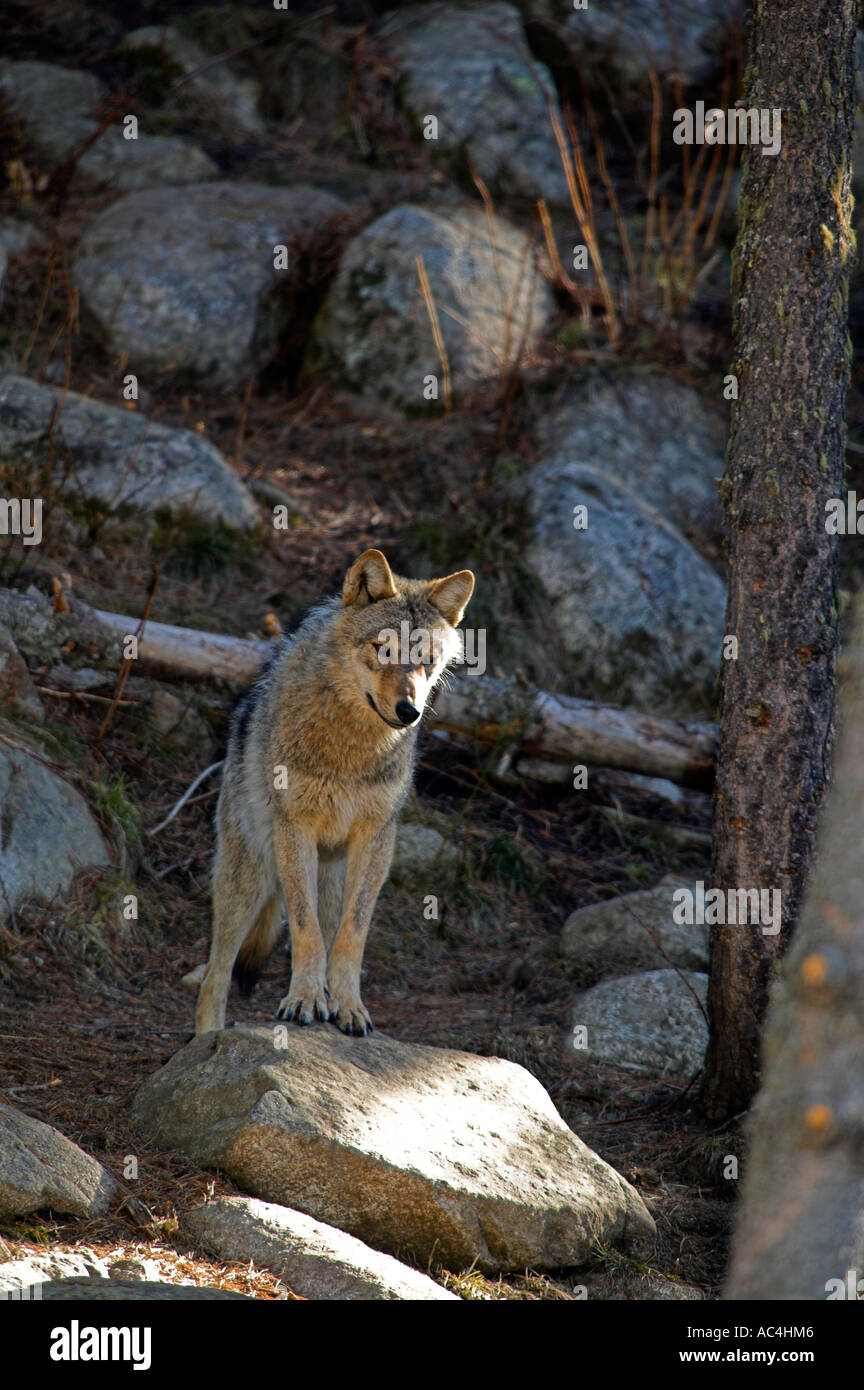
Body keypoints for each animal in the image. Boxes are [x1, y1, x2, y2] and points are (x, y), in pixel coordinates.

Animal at [195, 548, 474, 1037]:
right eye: (383, 649)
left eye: (427, 659)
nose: (410, 711)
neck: (351, 749)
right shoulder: (295, 827)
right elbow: (304, 930)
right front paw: (302, 999)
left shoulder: (377, 837)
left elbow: (350, 936)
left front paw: (348, 1006)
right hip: (250, 878)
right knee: (215, 973)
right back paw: (206, 1042)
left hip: (330, 875)